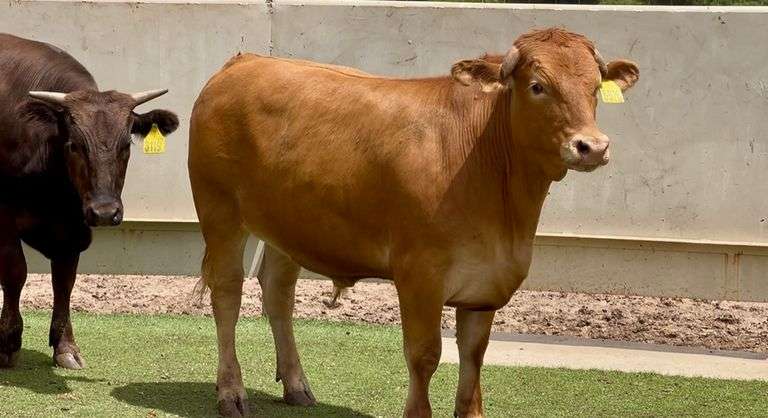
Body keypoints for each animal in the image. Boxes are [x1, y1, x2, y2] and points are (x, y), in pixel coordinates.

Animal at [0, 33, 179, 369]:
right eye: (74, 145)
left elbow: (64, 282)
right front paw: (8, 343)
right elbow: (15, 273)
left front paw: (65, 346)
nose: (105, 212)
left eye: (126, 145)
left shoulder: (74, 229)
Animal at [188, 28, 638, 417]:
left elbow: (473, 356)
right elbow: (424, 355)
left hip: (288, 225)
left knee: (278, 293)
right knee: (227, 295)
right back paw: (231, 392)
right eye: (537, 86)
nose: (592, 146)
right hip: (220, 211)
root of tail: (244, 61)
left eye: (594, 87)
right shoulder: (420, 275)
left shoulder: (485, 284)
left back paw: (297, 385)